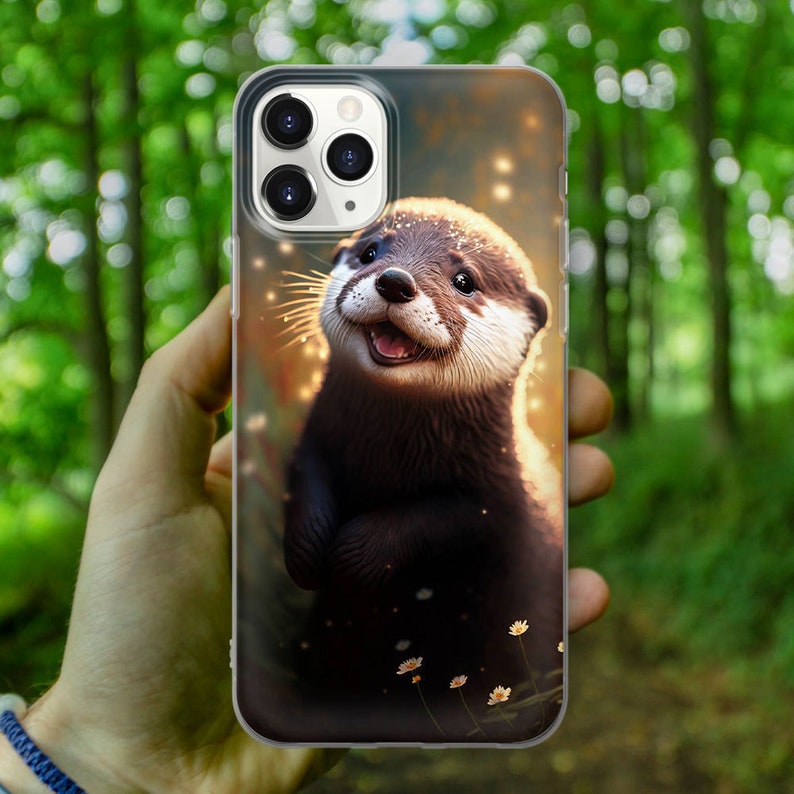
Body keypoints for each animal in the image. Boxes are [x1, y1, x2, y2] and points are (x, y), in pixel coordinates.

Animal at [282, 198, 563, 742]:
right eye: (372, 251)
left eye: (464, 280)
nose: (395, 280)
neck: (390, 460)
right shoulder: (314, 442)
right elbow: (305, 482)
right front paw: (308, 550)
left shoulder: (499, 491)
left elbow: (447, 518)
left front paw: (356, 554)